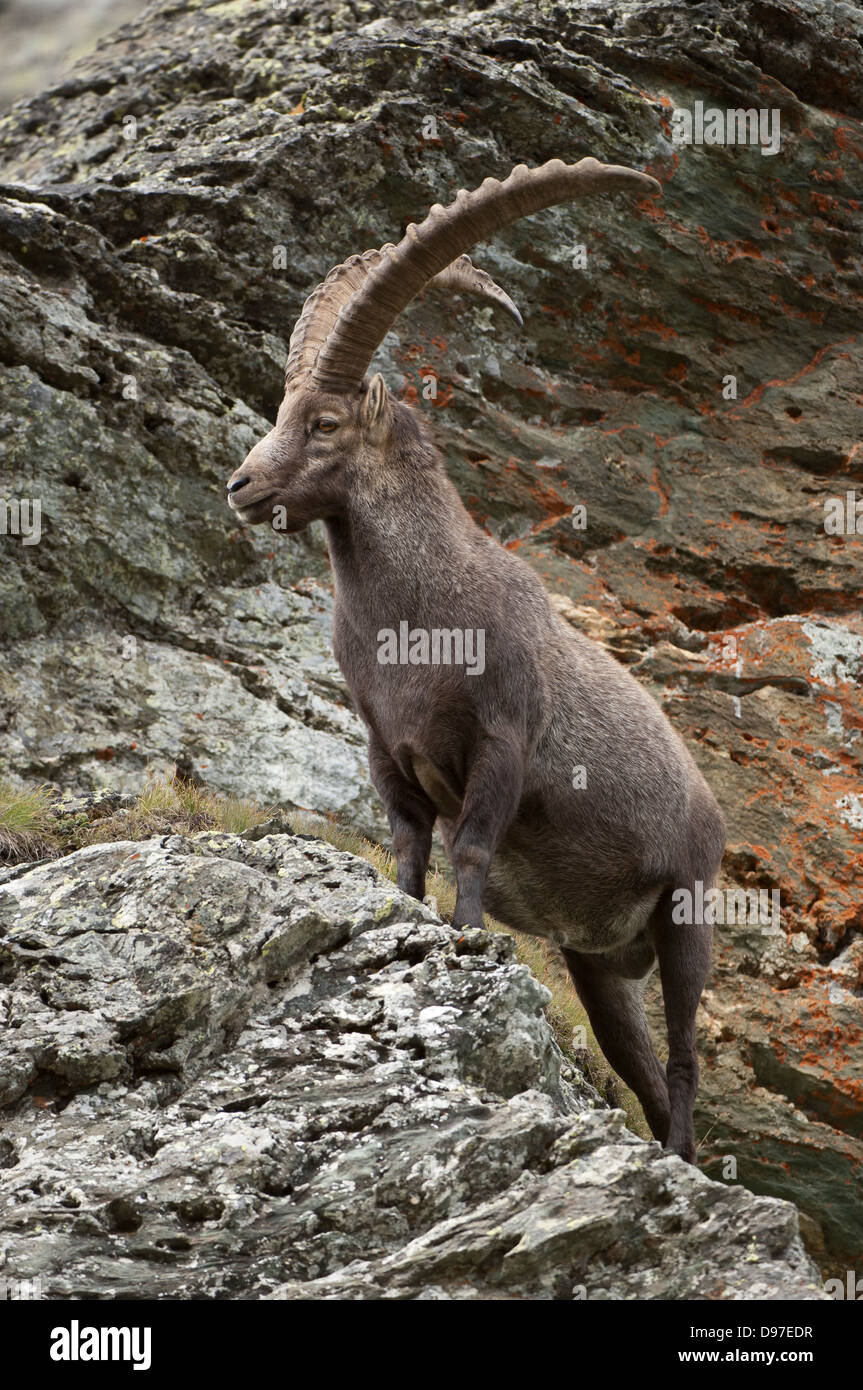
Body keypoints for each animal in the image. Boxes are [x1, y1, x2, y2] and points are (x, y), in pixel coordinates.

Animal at [227, 159, 726, 1162]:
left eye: (324, 421)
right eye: (280, 414)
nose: (240, 485)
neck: (416, 619)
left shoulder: (500, 742)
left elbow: (471, 846)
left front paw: (460, 941)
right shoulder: (386, 749)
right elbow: (409, 851)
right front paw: (405, 925)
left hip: (685, 909)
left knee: (685, 1060)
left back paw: (685, 1161)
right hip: (596, 963)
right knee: (643, 1074)